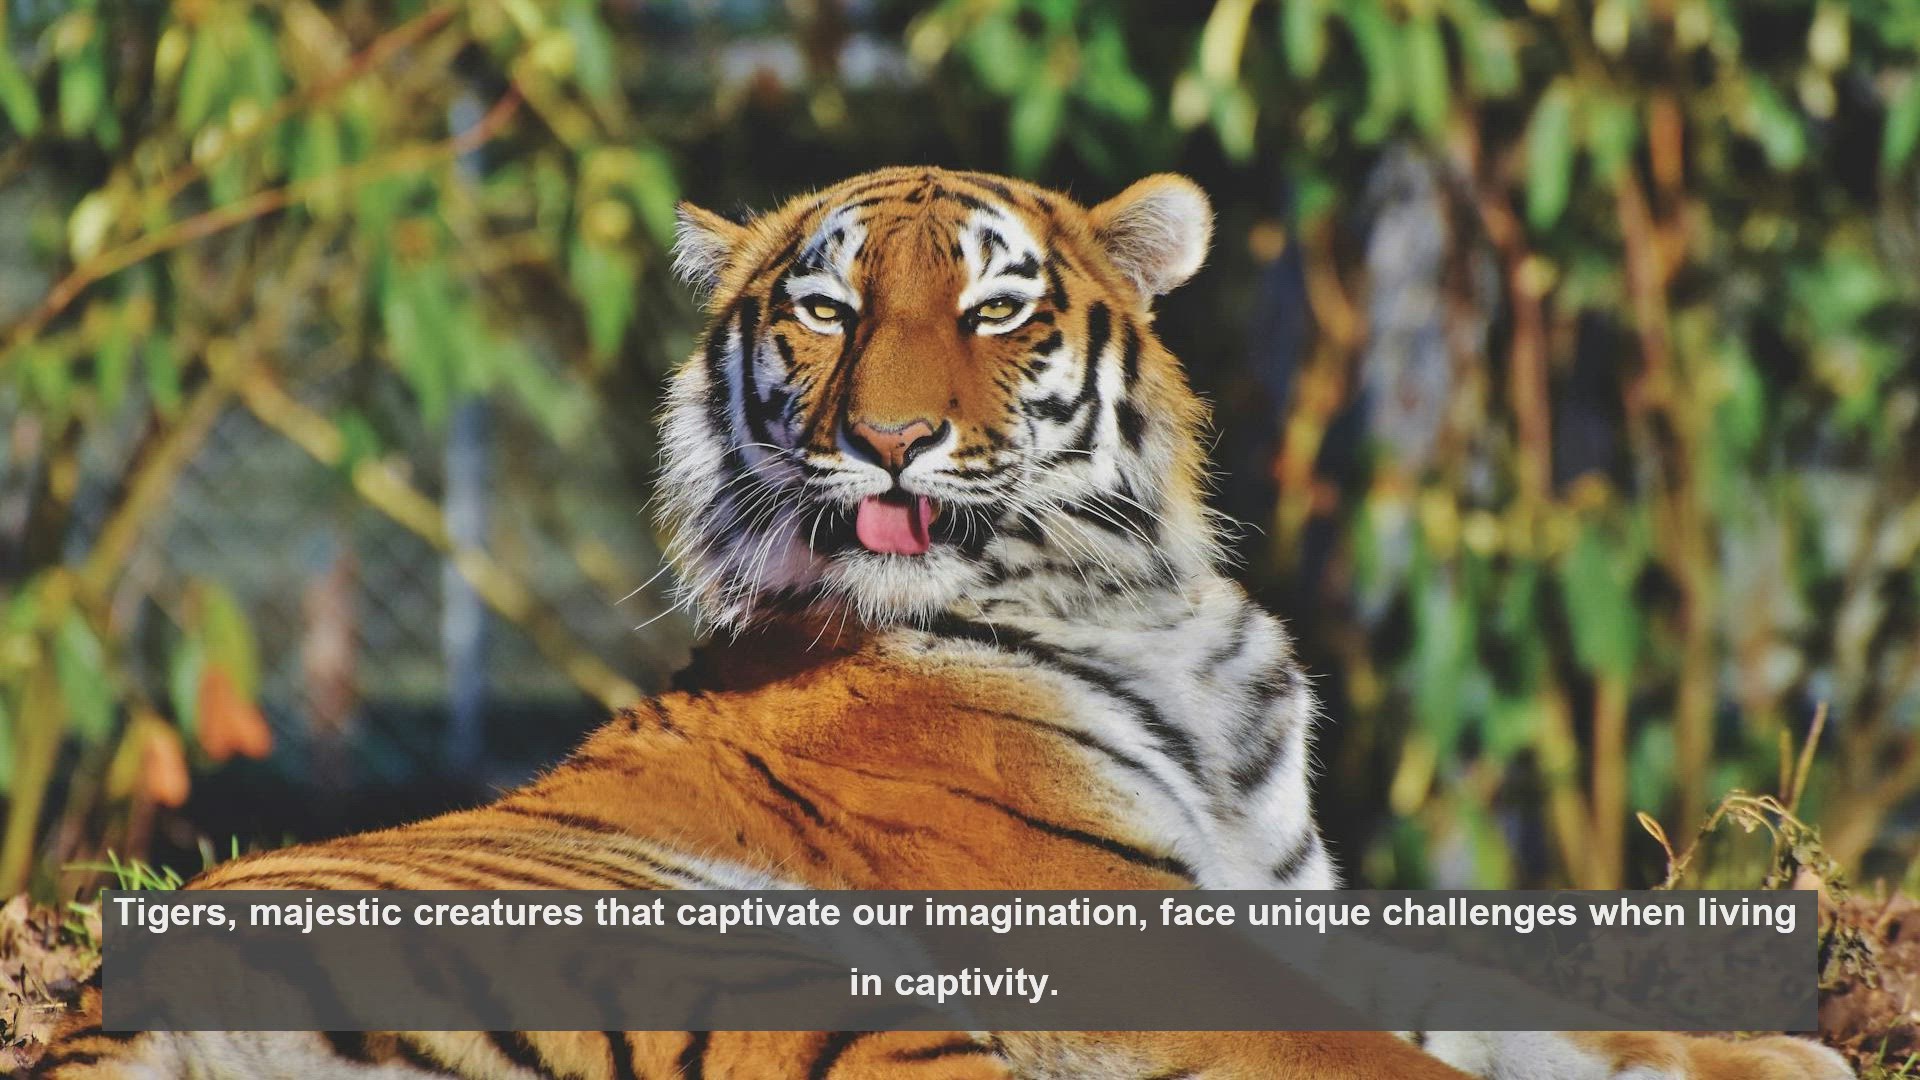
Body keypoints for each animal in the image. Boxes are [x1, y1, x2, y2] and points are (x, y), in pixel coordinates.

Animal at [39, 166, 1851, 1079]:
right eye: (825, 309)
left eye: (995, 309)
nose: (892, 439)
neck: (1139, 598)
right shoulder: (1140, 946)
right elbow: (1397, 1062)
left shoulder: (1283, 901)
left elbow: (1516, 1008)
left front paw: (1776, 1057)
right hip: (792, 978)